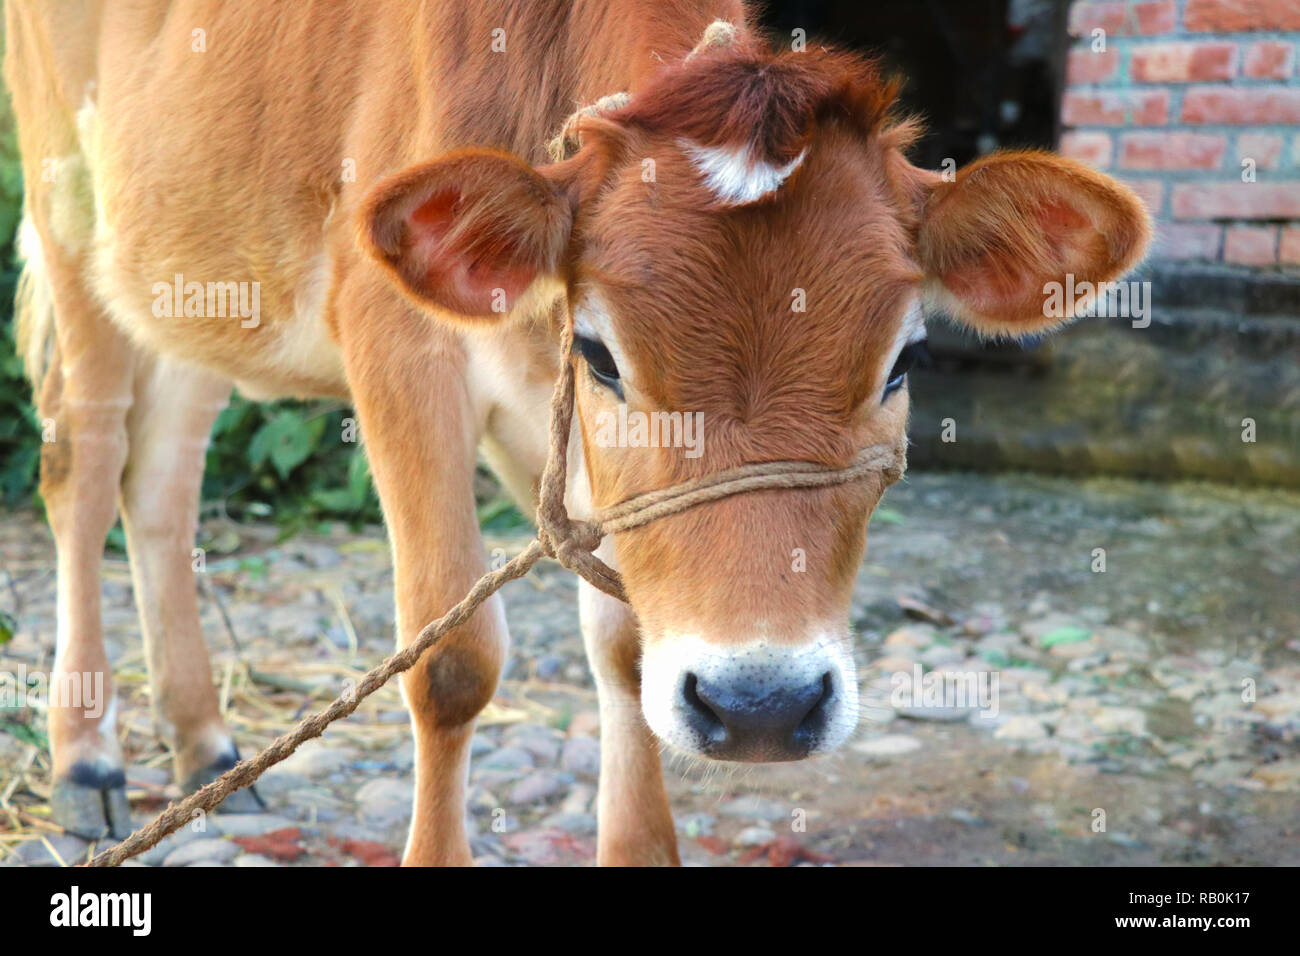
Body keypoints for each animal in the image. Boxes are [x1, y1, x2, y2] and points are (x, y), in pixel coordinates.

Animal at [5, 0, 1150, 866]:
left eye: (904, 359)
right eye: (601, 354)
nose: (764, 704)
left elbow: (632, 645)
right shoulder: (397, 344)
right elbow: (453, 659)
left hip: (193, 277)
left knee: (163, 479)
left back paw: (203, 745)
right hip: (68, 213)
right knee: (86, 468)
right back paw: (88, 757)